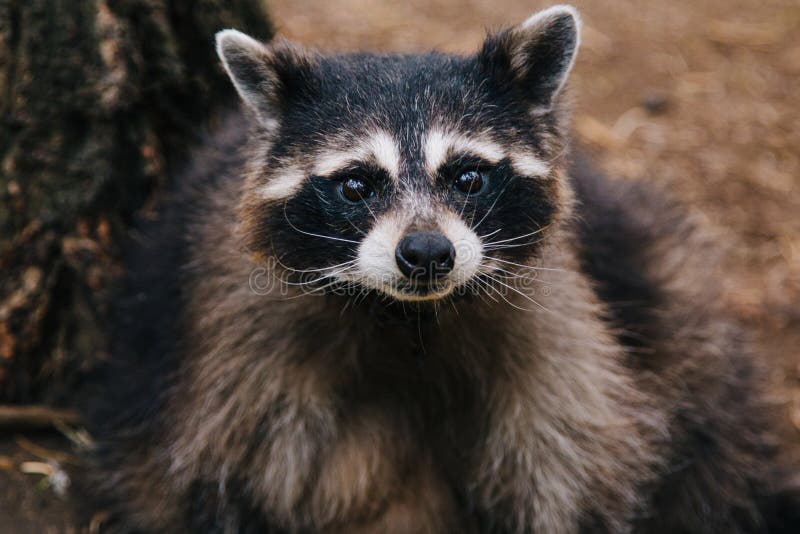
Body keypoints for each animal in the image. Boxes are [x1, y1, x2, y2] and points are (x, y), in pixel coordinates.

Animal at [84, 5, 799, 533]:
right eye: (356, 184)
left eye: (468, 176)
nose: (427, 252)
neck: (408, 315)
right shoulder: (236, 346)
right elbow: (221, 480)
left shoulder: (558, 327)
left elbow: (573, 467)